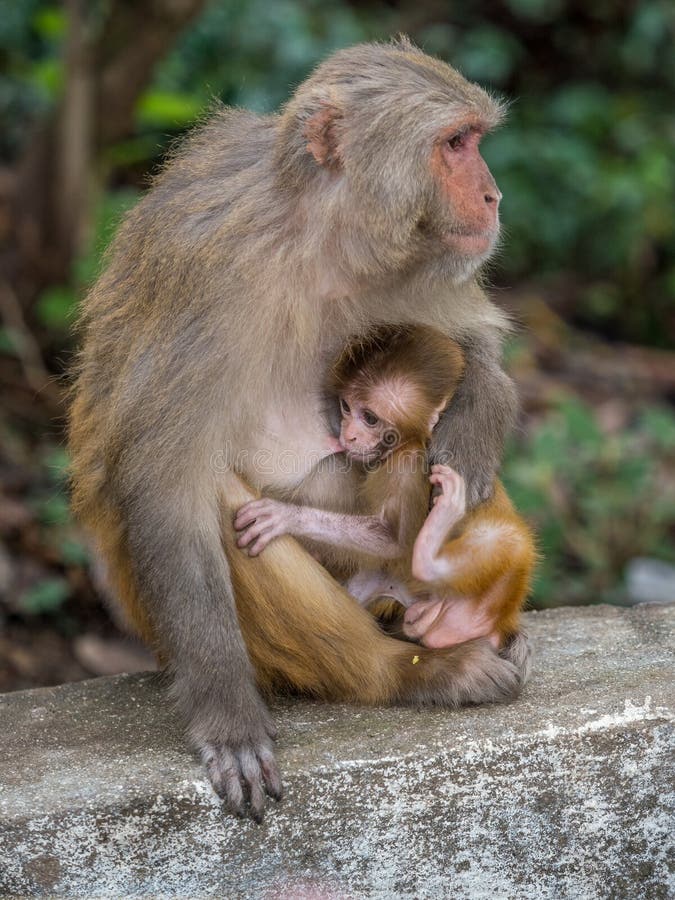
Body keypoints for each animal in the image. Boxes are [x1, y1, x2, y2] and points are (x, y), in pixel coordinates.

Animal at [234, 325, 535, 652]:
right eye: (346, 407)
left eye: (370, 418)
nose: (349, 435)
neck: (405, 444)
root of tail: (499, 622)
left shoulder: (406, 467)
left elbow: (391, 539)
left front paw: (286, 516)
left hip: (503, 572)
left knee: (495, 542)